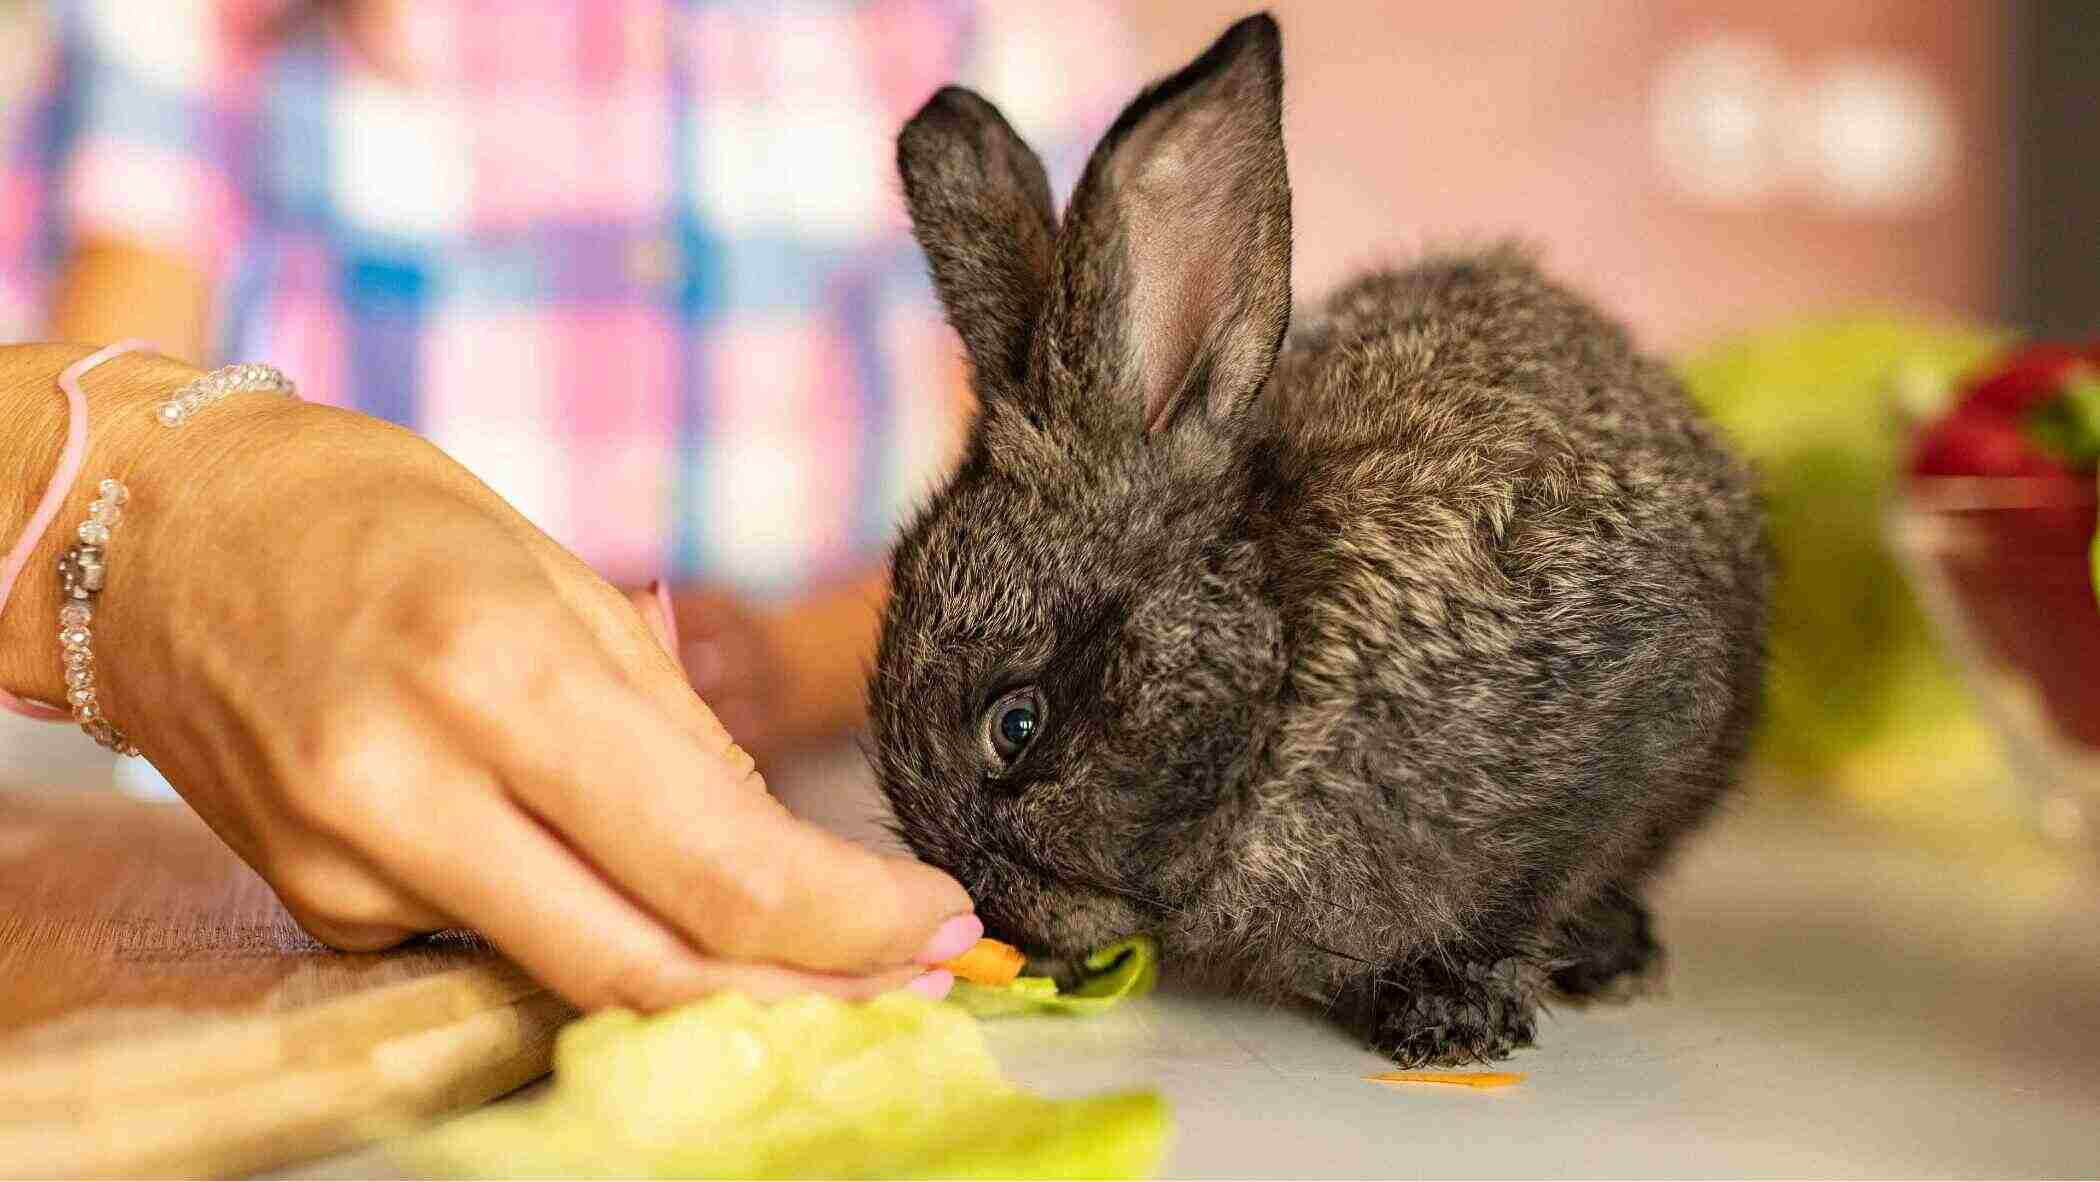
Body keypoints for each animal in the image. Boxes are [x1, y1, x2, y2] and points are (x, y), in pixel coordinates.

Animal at [868, 11, 1769, 1067]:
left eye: (1015, 724)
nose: (1005, 926)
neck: (1282, 672)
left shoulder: (1622, 729)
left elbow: (1523, 898)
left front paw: (1454, 1022)